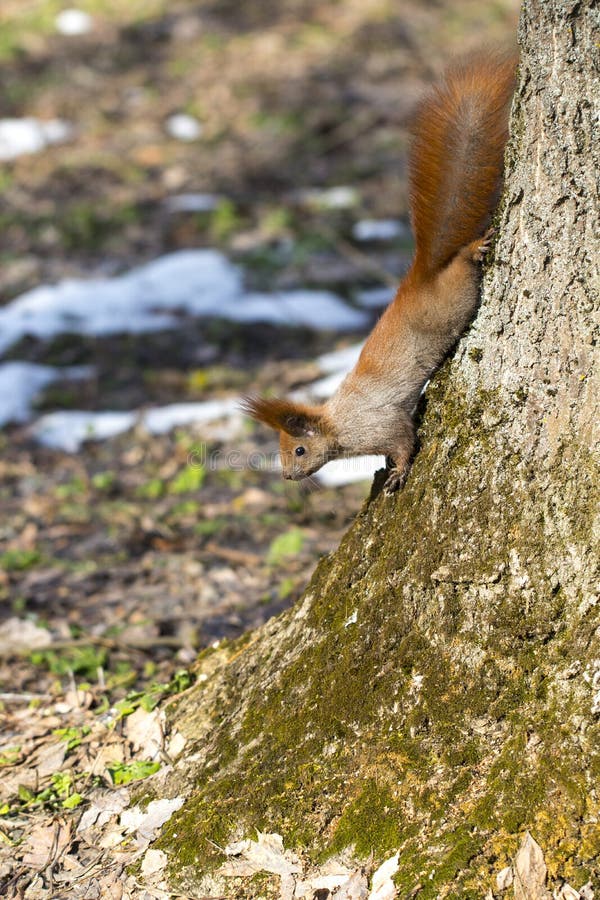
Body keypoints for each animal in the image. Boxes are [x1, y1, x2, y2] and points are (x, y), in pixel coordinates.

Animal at [243, 52, 517, 494]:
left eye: (298, 450)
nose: (286, 475)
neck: (339, 423)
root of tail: (424, 273)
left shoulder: (380, 424)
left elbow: (404, 441)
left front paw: (398, 473)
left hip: (456, 295)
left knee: (461, 264)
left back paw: (474, 249)